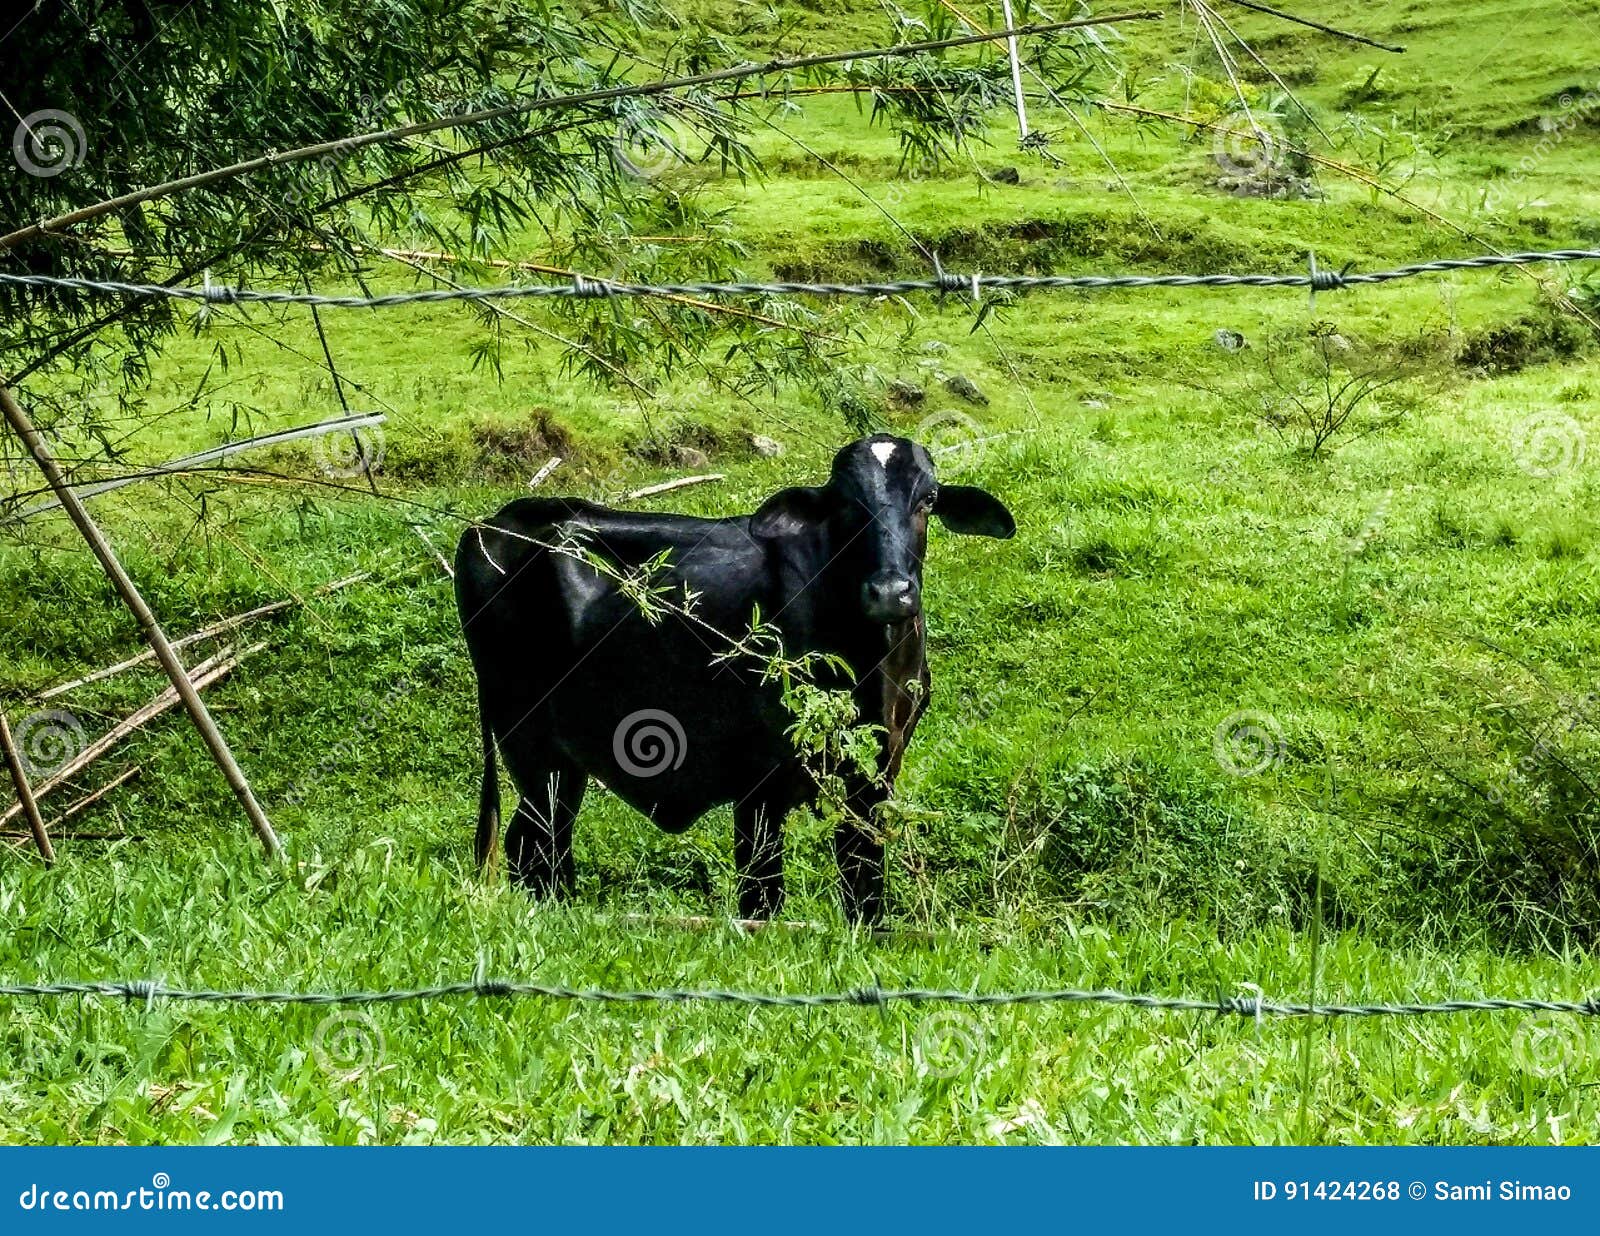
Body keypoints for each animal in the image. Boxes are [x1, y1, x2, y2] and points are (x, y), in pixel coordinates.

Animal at [454, 433, 1014, 923]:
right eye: (846, 506)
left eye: (929, 499)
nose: (889, 592)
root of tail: (494, 524)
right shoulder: (759, 778)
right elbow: (762, 892)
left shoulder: (878, 768)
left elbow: (863, 876)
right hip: (531, 745)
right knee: (532, 846)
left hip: (563, 762)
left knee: (546, 846)